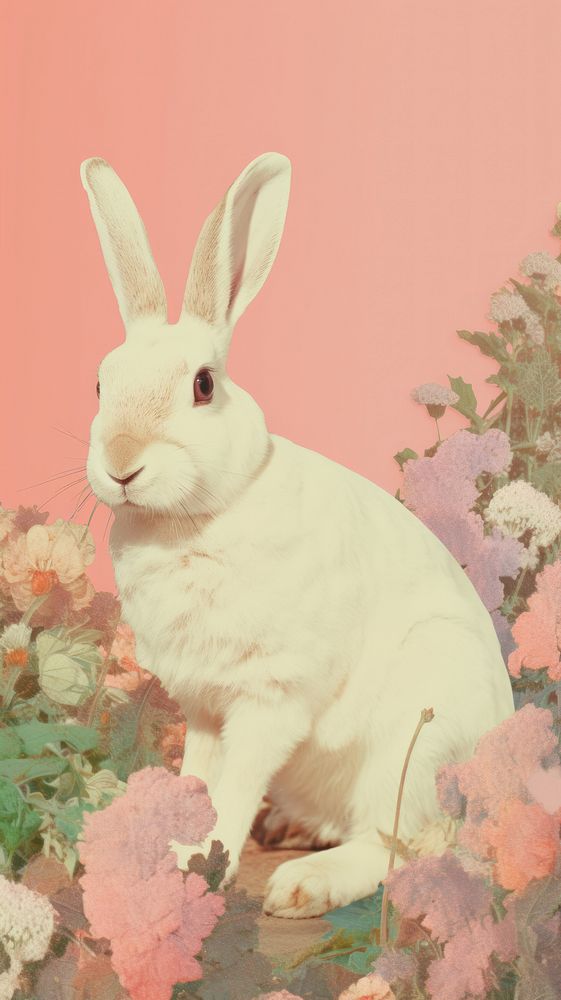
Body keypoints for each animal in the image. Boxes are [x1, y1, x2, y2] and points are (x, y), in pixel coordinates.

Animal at [80, 151, 515, 919]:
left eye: (203, 385)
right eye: (102, 386)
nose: (121, 464)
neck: (192, 520)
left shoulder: (269, 698)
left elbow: (231, 785)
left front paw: (204, 863)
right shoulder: (204, 705)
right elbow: (198, 779)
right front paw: (180, 852)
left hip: (417, 743)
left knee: (401, 848)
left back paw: (303, 885)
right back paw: (285, 830)